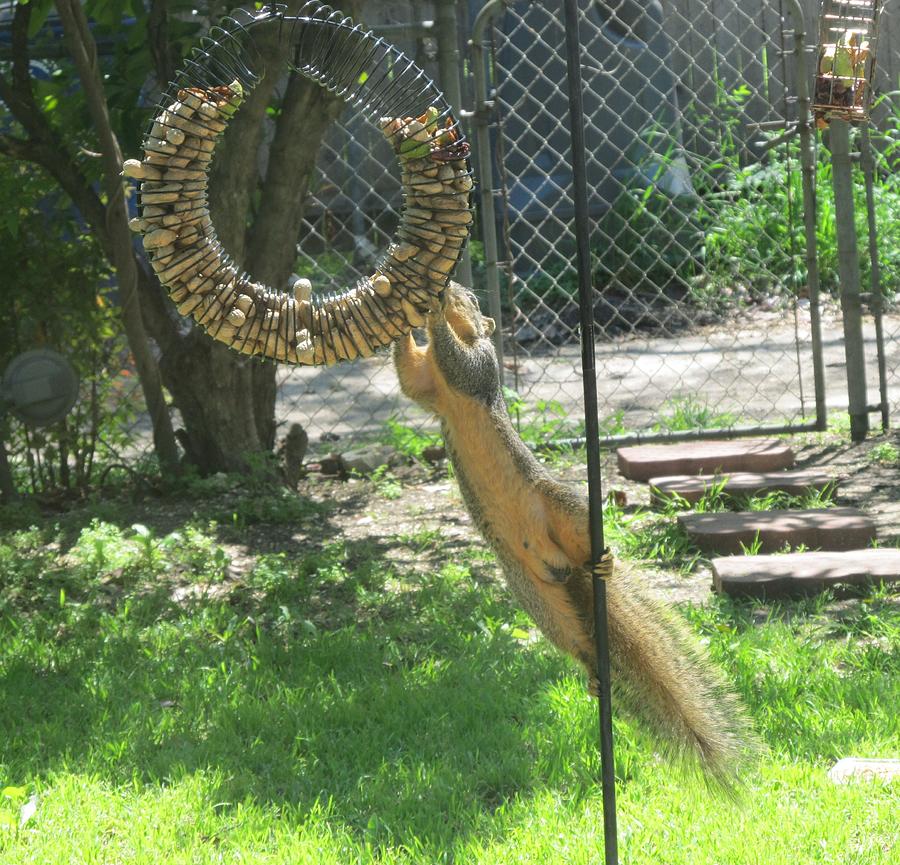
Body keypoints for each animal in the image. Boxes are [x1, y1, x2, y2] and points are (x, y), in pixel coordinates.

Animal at [393, 282, 759, 790]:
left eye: (472, 301)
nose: (454, 289)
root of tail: (563, 564)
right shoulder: (429, 389)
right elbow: (410, 376)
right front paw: (401, 314)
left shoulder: (479, 368)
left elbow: (459, 361)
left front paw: (429, 309)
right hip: (536, 596)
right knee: (574, 638)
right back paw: (590, 670)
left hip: (563, 507)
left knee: (589, 541)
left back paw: (607, 563)